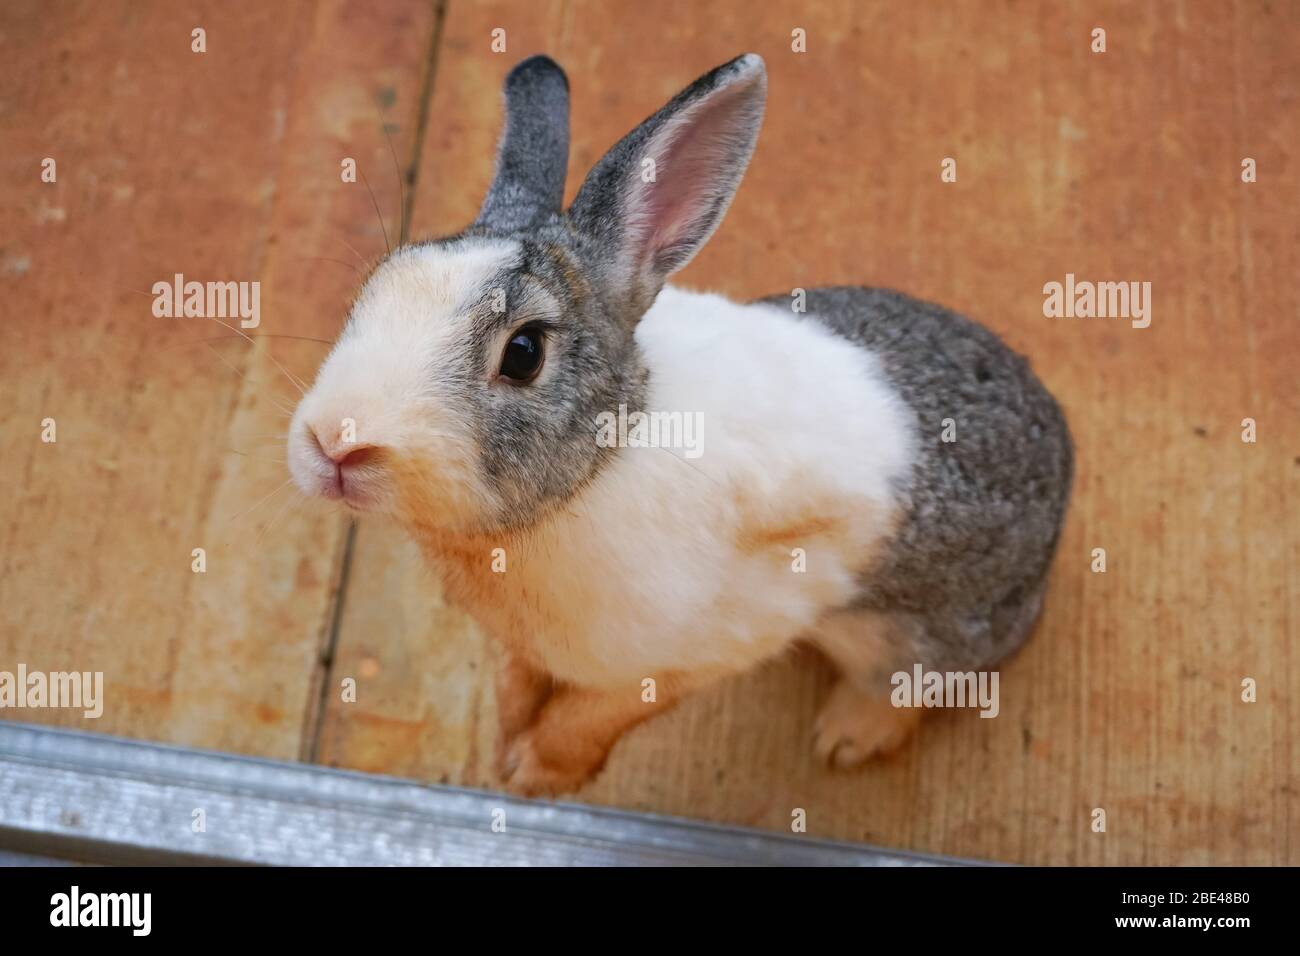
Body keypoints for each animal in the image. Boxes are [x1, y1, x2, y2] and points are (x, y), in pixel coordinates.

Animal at [287, 53, 1073, 795]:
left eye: (524, 352)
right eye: (373, 289)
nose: (334, 442)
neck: (601, 461)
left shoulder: (708, 643)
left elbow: (595, 716)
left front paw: (539, 773)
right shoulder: (527, 647)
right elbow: (518, 682)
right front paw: (504, 746)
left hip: (913, 635)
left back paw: (846, 737)